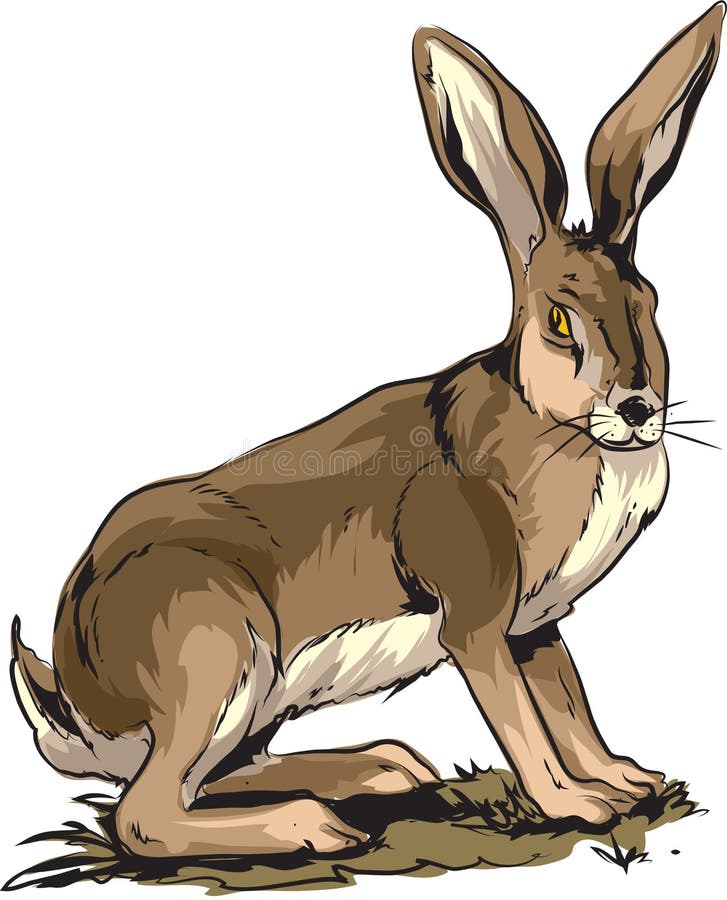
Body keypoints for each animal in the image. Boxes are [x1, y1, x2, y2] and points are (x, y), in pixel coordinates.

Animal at [11, 4, 724, 858]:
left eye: (650, 303)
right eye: (558, 320)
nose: (637, 406)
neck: (553, 427)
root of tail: (76, 688)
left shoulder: (537, 626)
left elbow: (569, 705)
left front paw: (625, 780)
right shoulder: (478, 622)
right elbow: (523, 722)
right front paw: (577, 804)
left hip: (246, 700)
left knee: (210, 778)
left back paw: (384, 769)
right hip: (213, 646)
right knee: (144, 814)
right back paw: (317, 826)